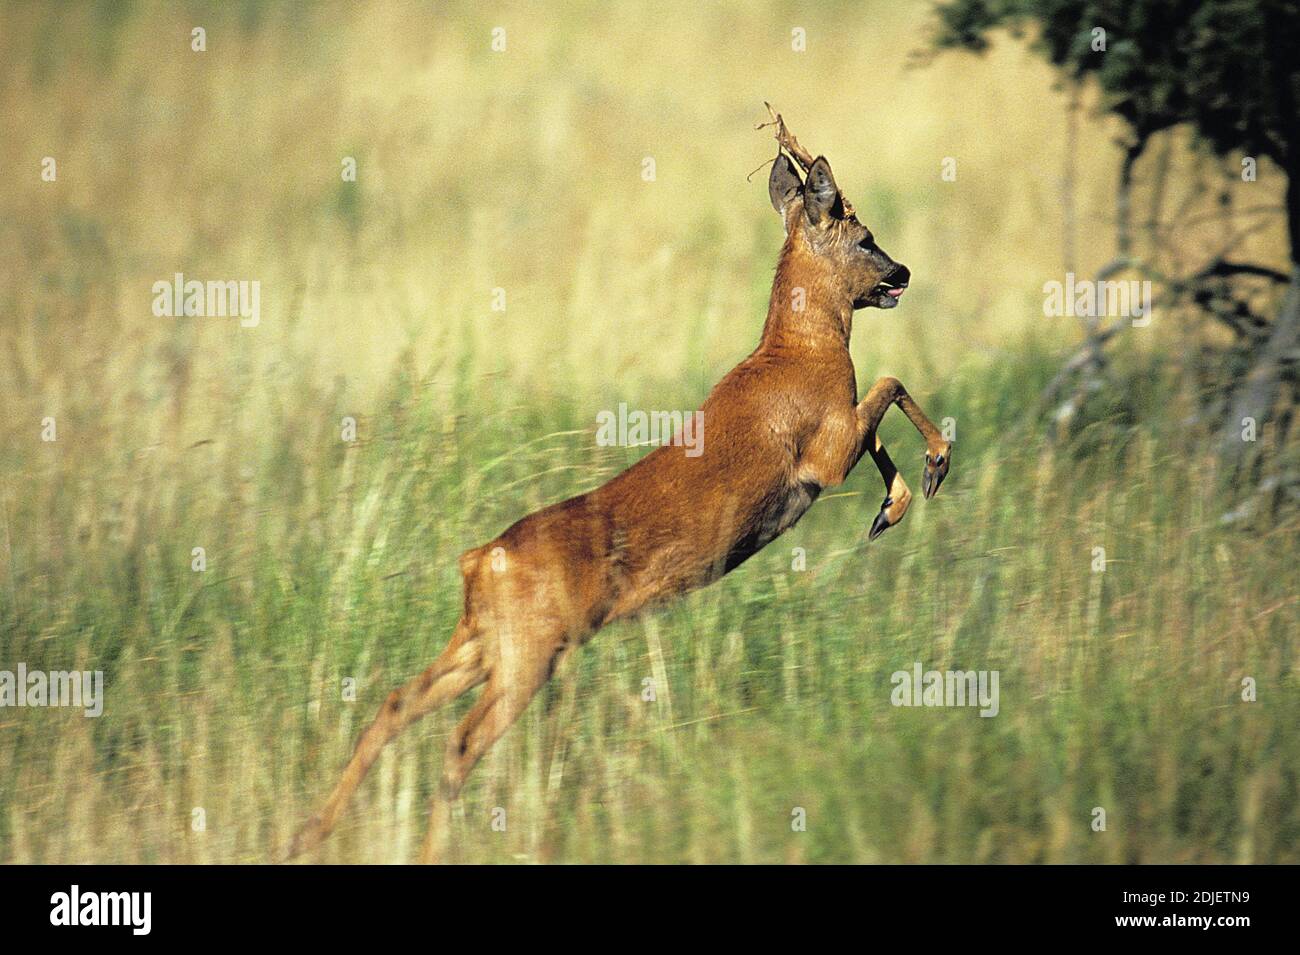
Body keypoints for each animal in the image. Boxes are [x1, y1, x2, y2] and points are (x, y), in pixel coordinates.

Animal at [285, 104, 953, 863]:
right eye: (864, 235)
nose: (902, 271)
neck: (799, 350)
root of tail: (479, 562)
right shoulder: (823, 453)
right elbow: (889, 383)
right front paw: (927, 474)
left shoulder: (837, 439)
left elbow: (881, 416)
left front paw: (892, 506)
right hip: (529, 652)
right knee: (458, 741)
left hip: (484, 642)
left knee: (395, 703)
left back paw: (308, 832)